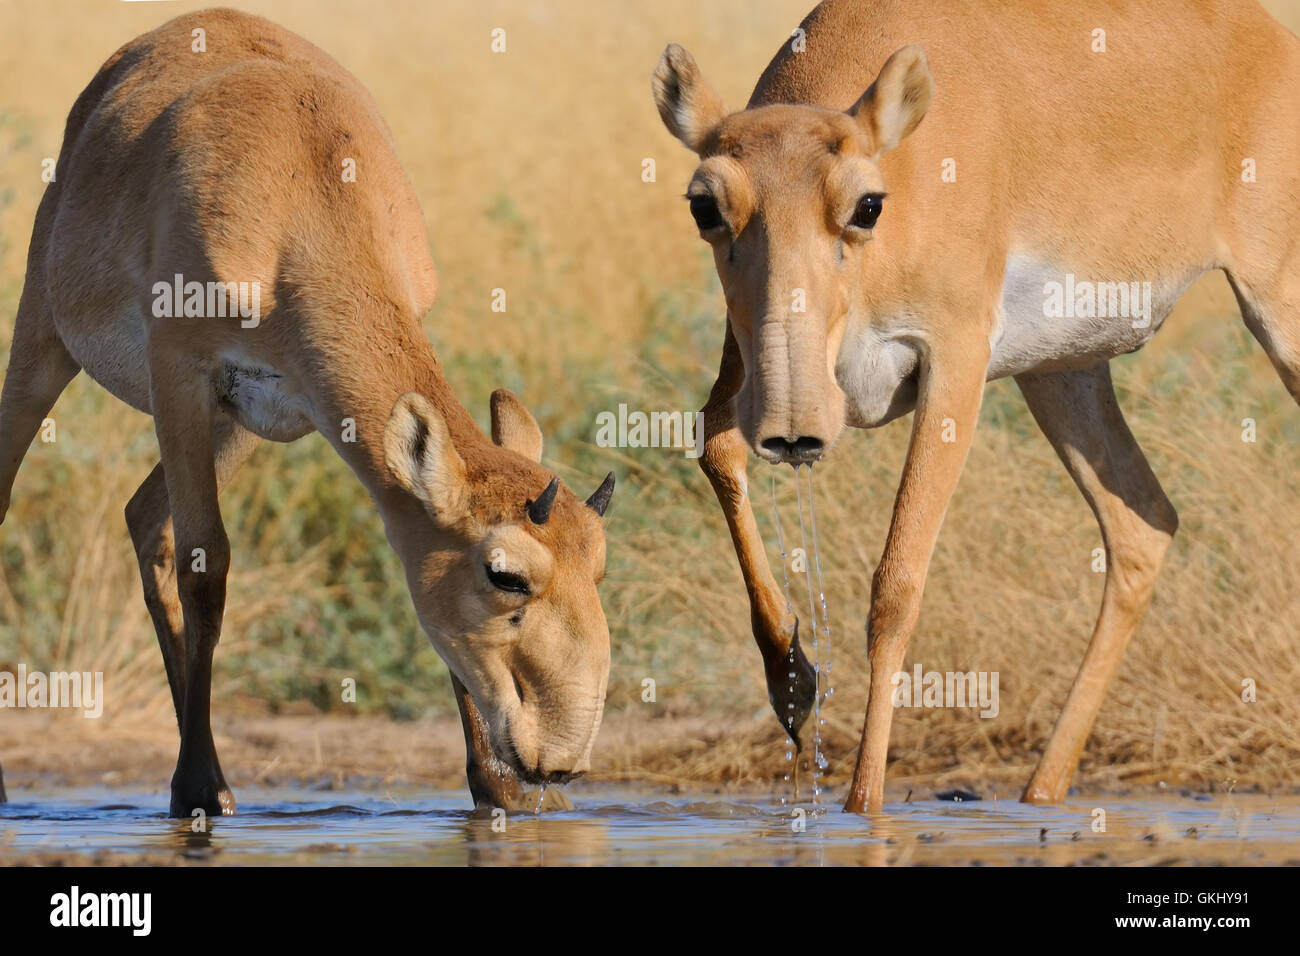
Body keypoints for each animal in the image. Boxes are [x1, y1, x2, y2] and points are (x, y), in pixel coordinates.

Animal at [0, 5, 616, 816]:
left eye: (599, 564)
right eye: (505, 574)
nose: (559, 762)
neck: (307, 188)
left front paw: (494, 789)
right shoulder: (181, 374)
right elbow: (208, 565)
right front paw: (198, 788)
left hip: (240, 427)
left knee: (143, 519)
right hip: (46, 346)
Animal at [655, 0, 1294, 811]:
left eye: (866, 205)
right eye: (705, 205)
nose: (797, 432)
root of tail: (1271, 39)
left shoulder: (953, 367)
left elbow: (897, 585)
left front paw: (863, 806)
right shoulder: (754, 363)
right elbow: (714, 444)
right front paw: (793, 686)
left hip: (1272, 312)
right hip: (1061, 375)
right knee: (1144, 525)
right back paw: (1040, 792)